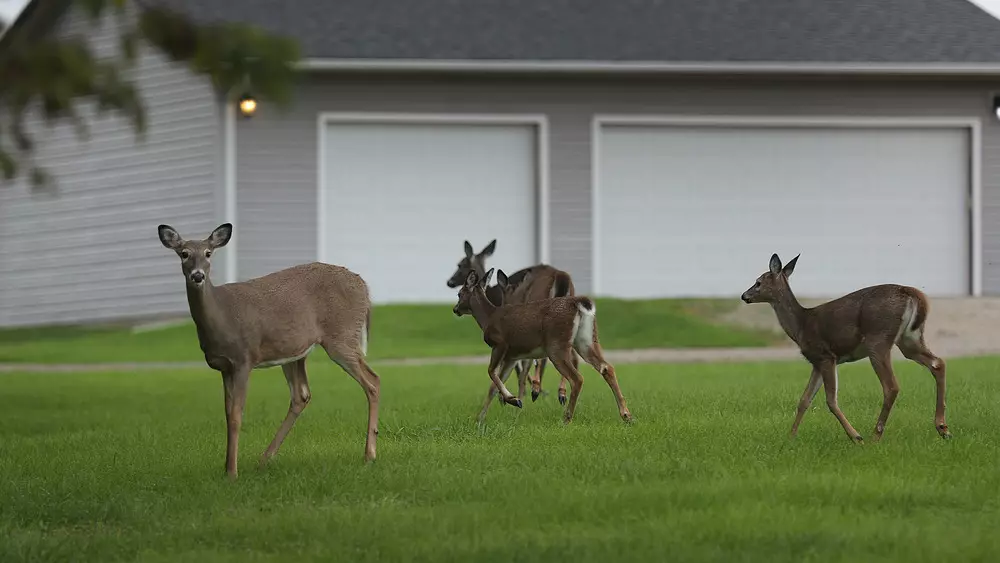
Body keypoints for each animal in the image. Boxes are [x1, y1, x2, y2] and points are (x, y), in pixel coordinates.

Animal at [158, 223, 380, 478]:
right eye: (184, 253)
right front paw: (226, 467)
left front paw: (232, 473)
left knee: (373, 381)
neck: (221, 316)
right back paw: (265, 458)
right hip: (295, 353)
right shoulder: (224, 367)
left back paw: (369, 455)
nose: (197, 275)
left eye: (208, 253)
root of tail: (364, 287)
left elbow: (237, 416)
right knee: (302, 394)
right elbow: (227, 414)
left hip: (342, 336)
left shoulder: (244, 358)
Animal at [448, 238, 576, 406]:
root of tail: (561, 277)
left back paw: (538, 389)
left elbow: (520, 363)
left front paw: (512, 396)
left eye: (460, 264)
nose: (449, 282)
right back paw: (559, 393)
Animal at [456, 266, 632, 426]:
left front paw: (515, 401)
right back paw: (626, 415)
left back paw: (566, 418)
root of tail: (579, 303)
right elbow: (494, 385)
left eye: (459, 293)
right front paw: (480, 419)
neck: (488, 318)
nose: (455, 309)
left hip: (556, 345)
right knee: (606, 367)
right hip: (586, 340)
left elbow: (491, 372)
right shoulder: (512, 356)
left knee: (577, 378)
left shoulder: (500, 344)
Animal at [744, 253, 952, 442]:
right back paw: (943, 428)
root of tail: (911, 292)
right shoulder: (816, 362)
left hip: (878, 339)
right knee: (937, 363)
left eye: (758, 282)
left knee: (891, 386)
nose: (744, 295)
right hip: (909, 339)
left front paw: (855, 436)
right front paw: (791, 437)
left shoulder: (826, 355)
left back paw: (875, 436)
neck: (801, 326)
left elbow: (830, 400)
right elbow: (804, 400)